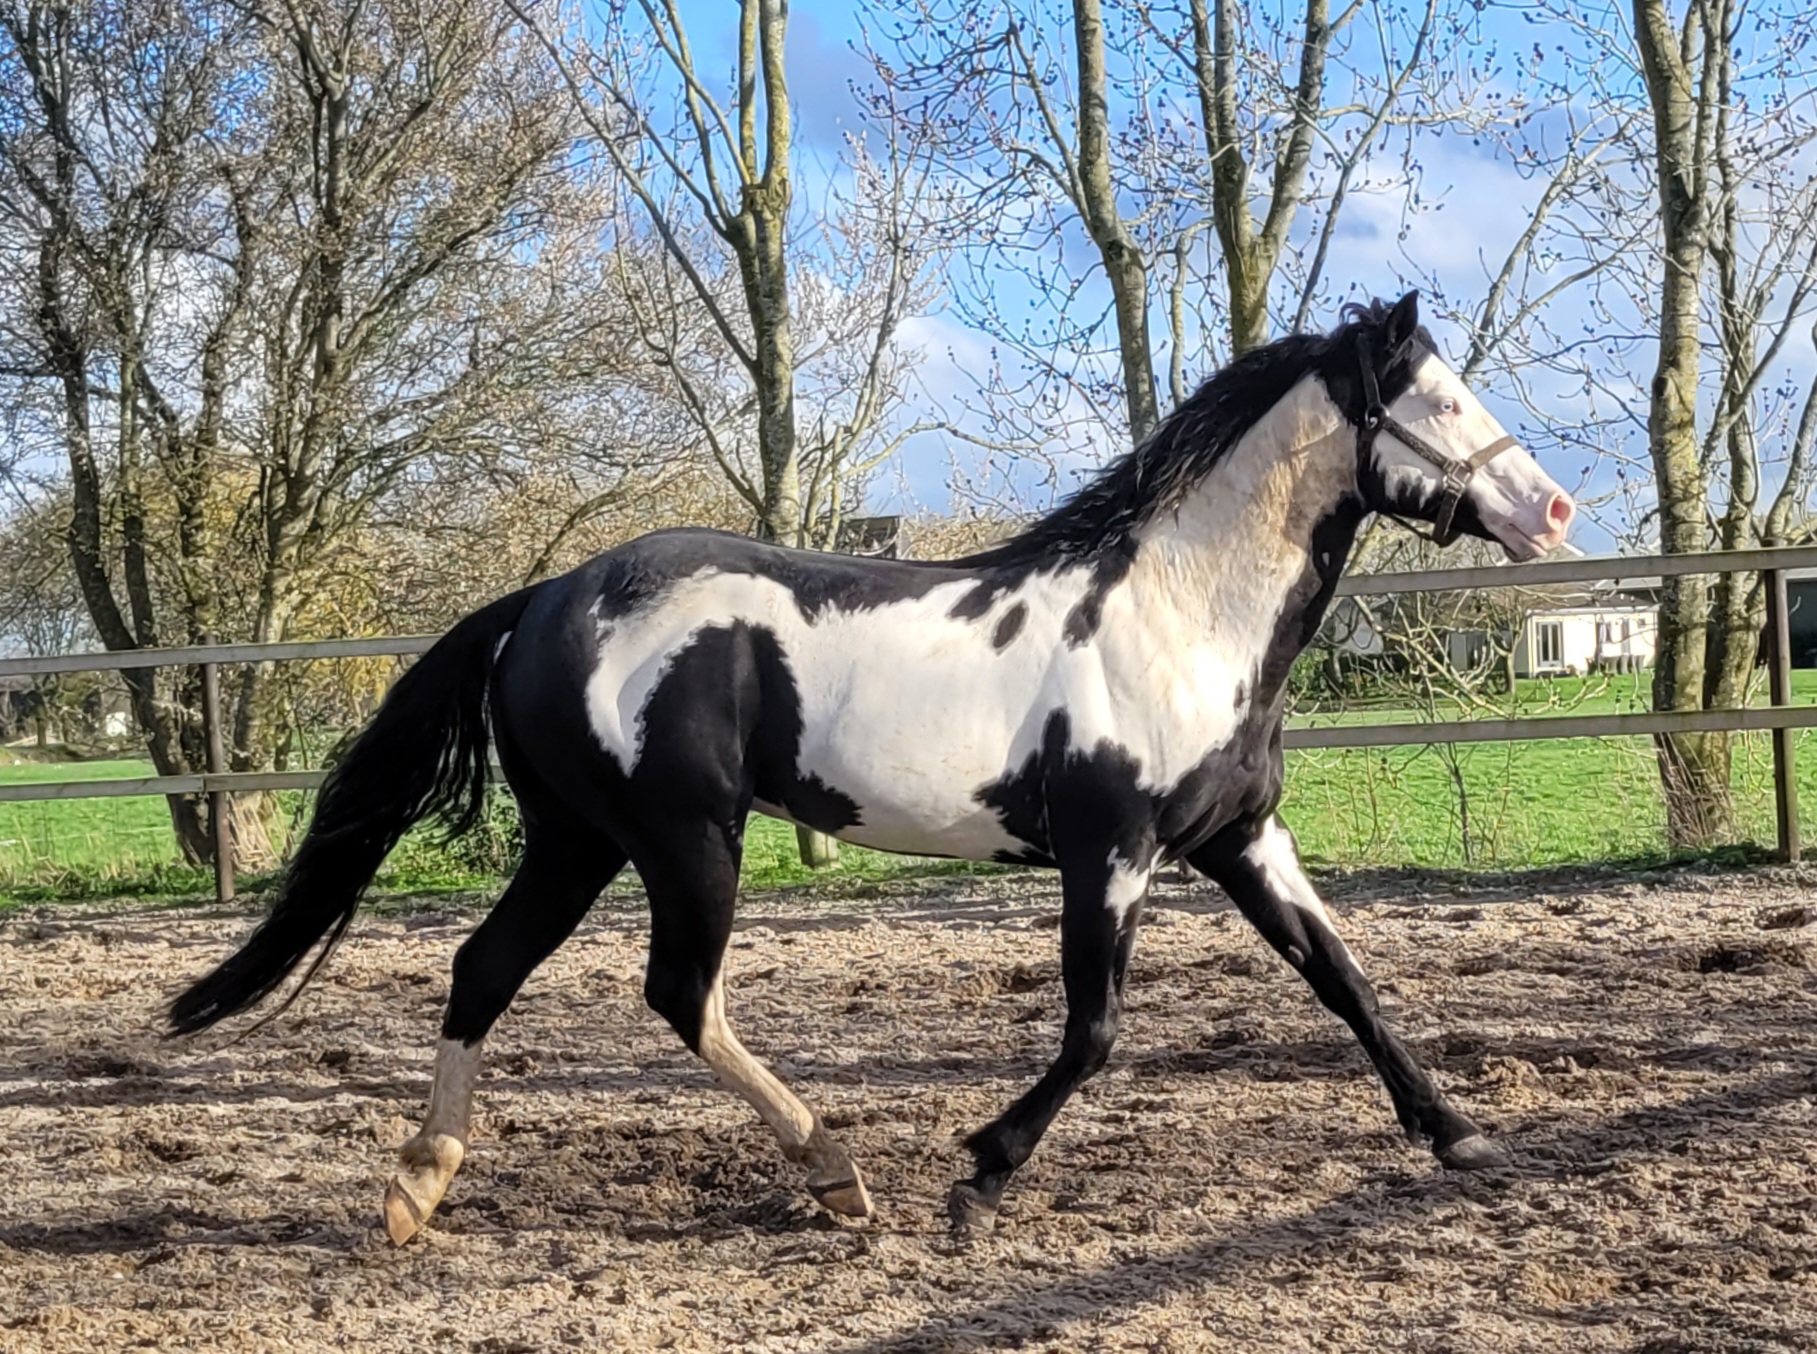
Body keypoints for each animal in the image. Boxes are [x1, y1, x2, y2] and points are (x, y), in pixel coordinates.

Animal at [169, 292, 1575, 1242]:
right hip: (684, 840)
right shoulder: (1107, 852)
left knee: (484, 966)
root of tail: (545, 597)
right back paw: (832, 1170)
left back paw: (419, 1184)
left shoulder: (1239, 839)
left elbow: (1345, 979)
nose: (1550, 511)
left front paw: (1457, 1133)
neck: (1177, 619)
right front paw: (980, 1172)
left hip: (578, 841)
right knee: (678, 993)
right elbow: (1093, 1030)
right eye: (1437, 399)